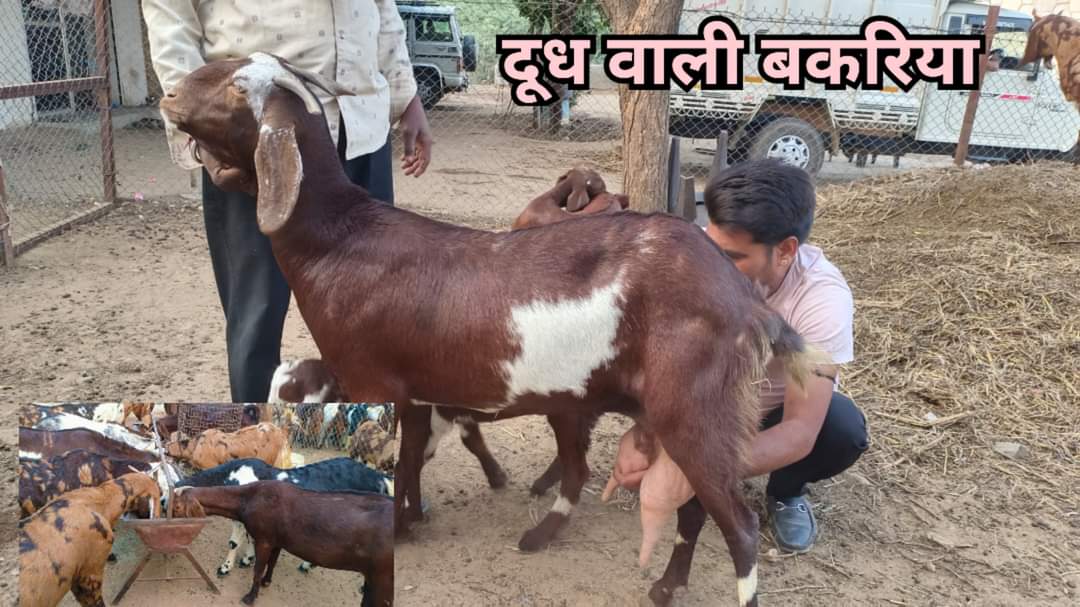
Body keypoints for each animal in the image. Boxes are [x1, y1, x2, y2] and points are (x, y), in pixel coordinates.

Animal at [174, 482, 393, 606]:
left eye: (176, 507)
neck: (248, 499)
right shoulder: (277, 540)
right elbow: (272, 563)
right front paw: (266, 582)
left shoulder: (264, 539)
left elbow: (258, 569)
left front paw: (250, 597)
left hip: (383, 576)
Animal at [176, 456, 391, 577]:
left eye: (175, 507)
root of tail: (379, 477)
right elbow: (250, 538)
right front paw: (248, 559)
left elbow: (233, 543)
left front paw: (225, 568)